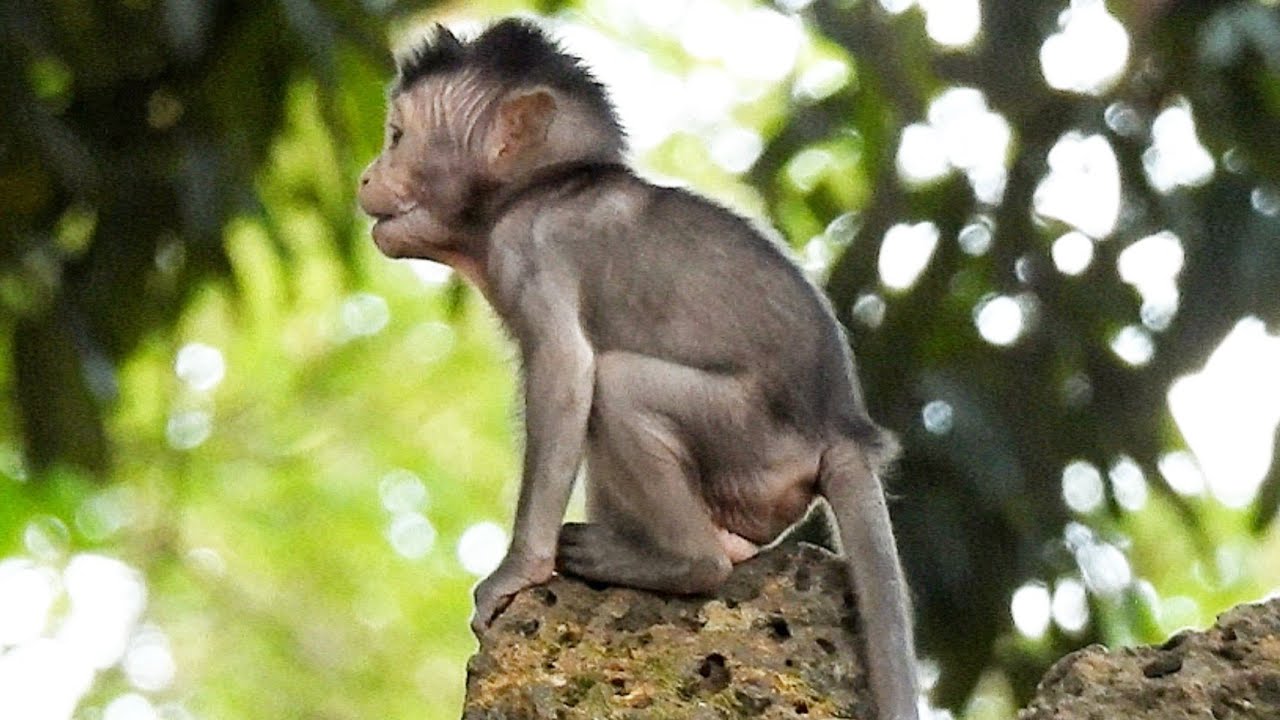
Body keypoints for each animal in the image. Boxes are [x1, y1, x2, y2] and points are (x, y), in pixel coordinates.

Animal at [357, 19, 920, 720]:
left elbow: (567, 374)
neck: (541, 188)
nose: (366, 177)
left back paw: (688, 562)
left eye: (397, 137)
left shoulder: (529, 248)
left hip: (750, 443)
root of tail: (844, 431)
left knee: (618, 387)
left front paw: (517, 573)